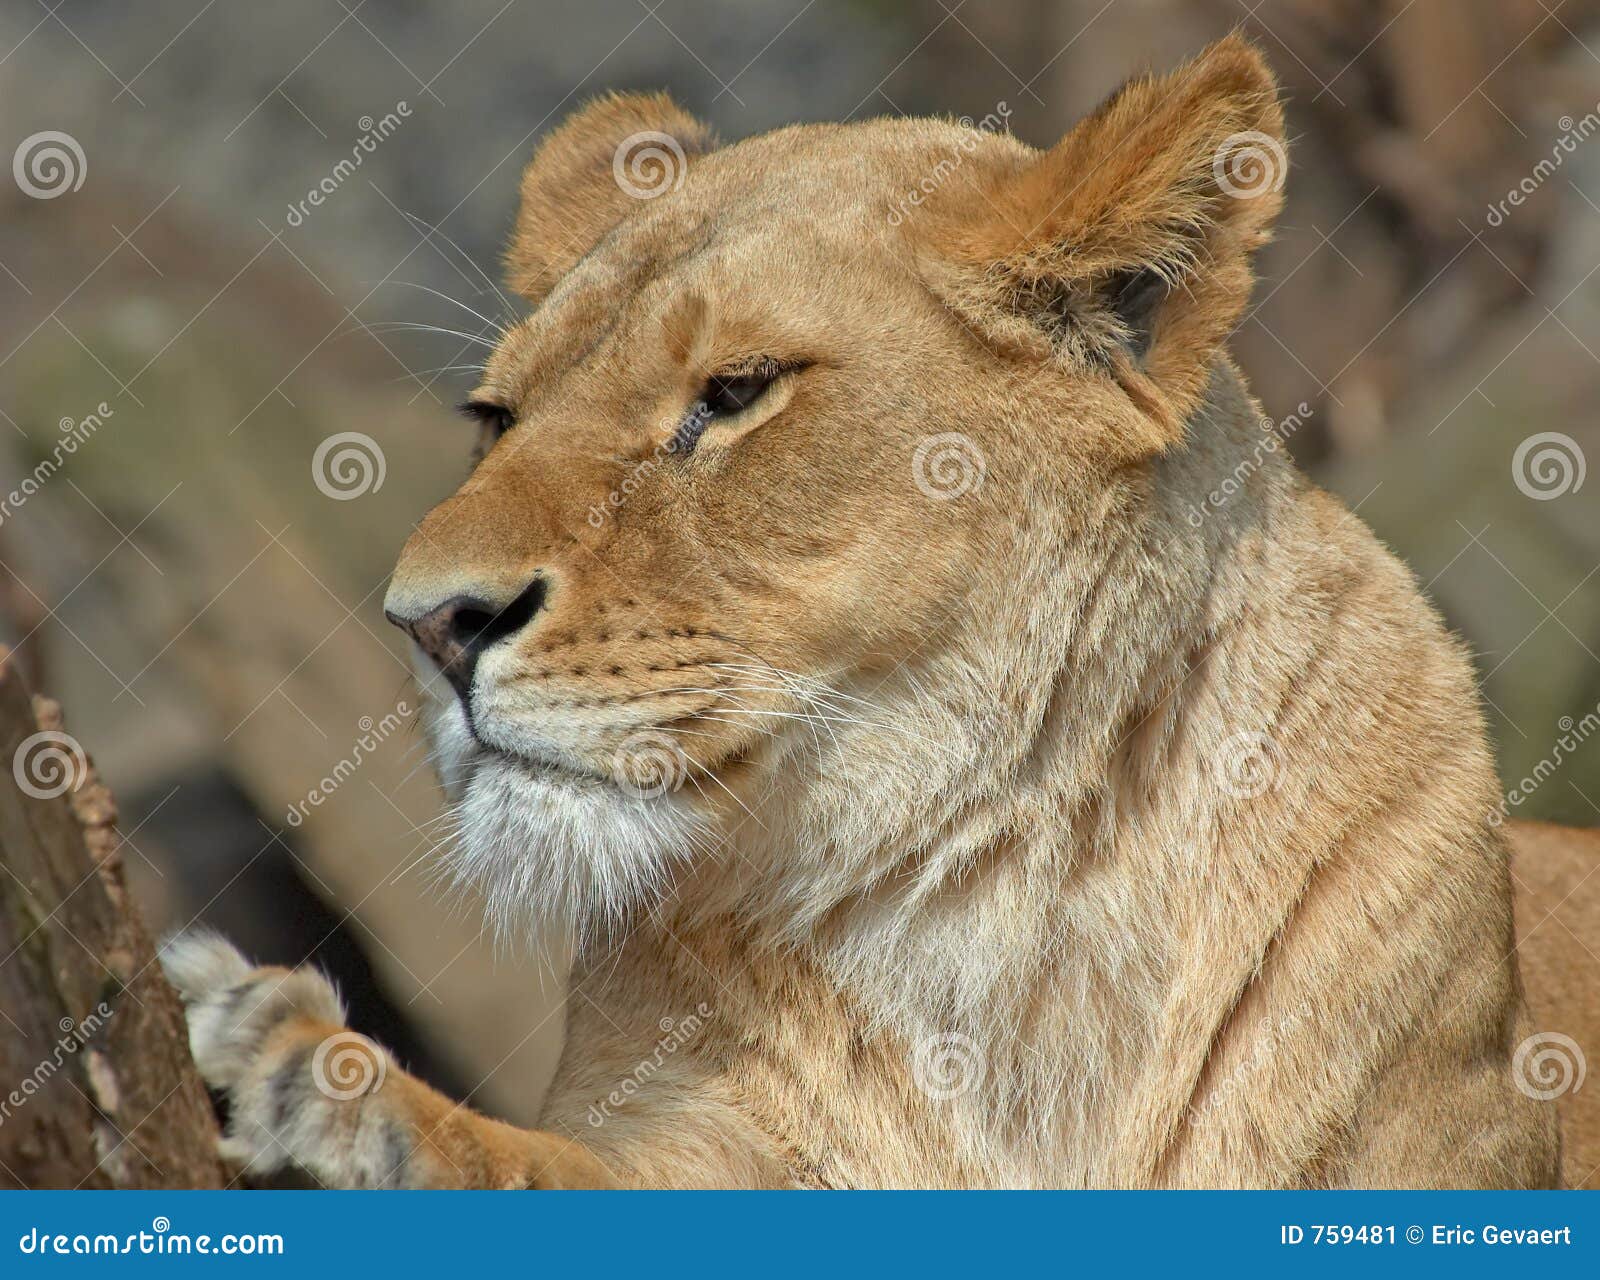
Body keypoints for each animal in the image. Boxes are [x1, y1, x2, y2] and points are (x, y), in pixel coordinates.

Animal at [161, 35, 1595, 1189]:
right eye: (496, 418)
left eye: (735, 392)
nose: (429, 624)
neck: (996, 896)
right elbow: (534, 1173)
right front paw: (312, 1080)